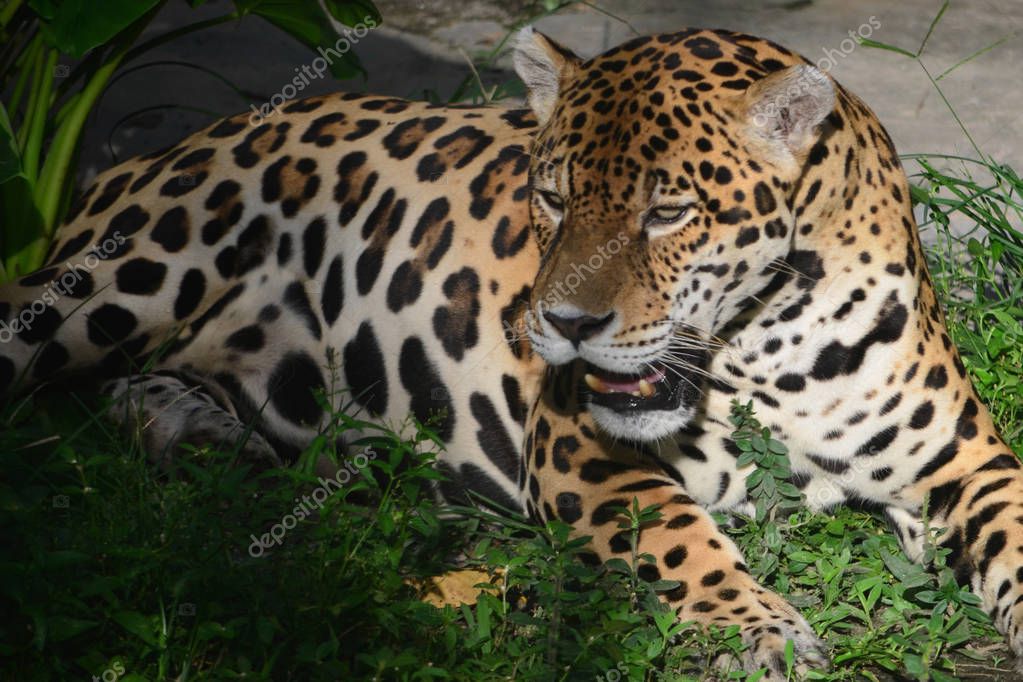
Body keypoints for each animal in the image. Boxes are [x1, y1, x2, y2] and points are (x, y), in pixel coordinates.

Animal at [2, 26, 1023, 677]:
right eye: (553, 198)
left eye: (668, 211)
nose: (563, 324)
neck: (771, 342)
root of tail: (192, 135)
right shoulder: (577, 451)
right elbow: (681, 537)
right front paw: (759, 630)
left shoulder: (966, 460)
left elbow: (1011, 535)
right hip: (123, 275)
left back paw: (216, 441)